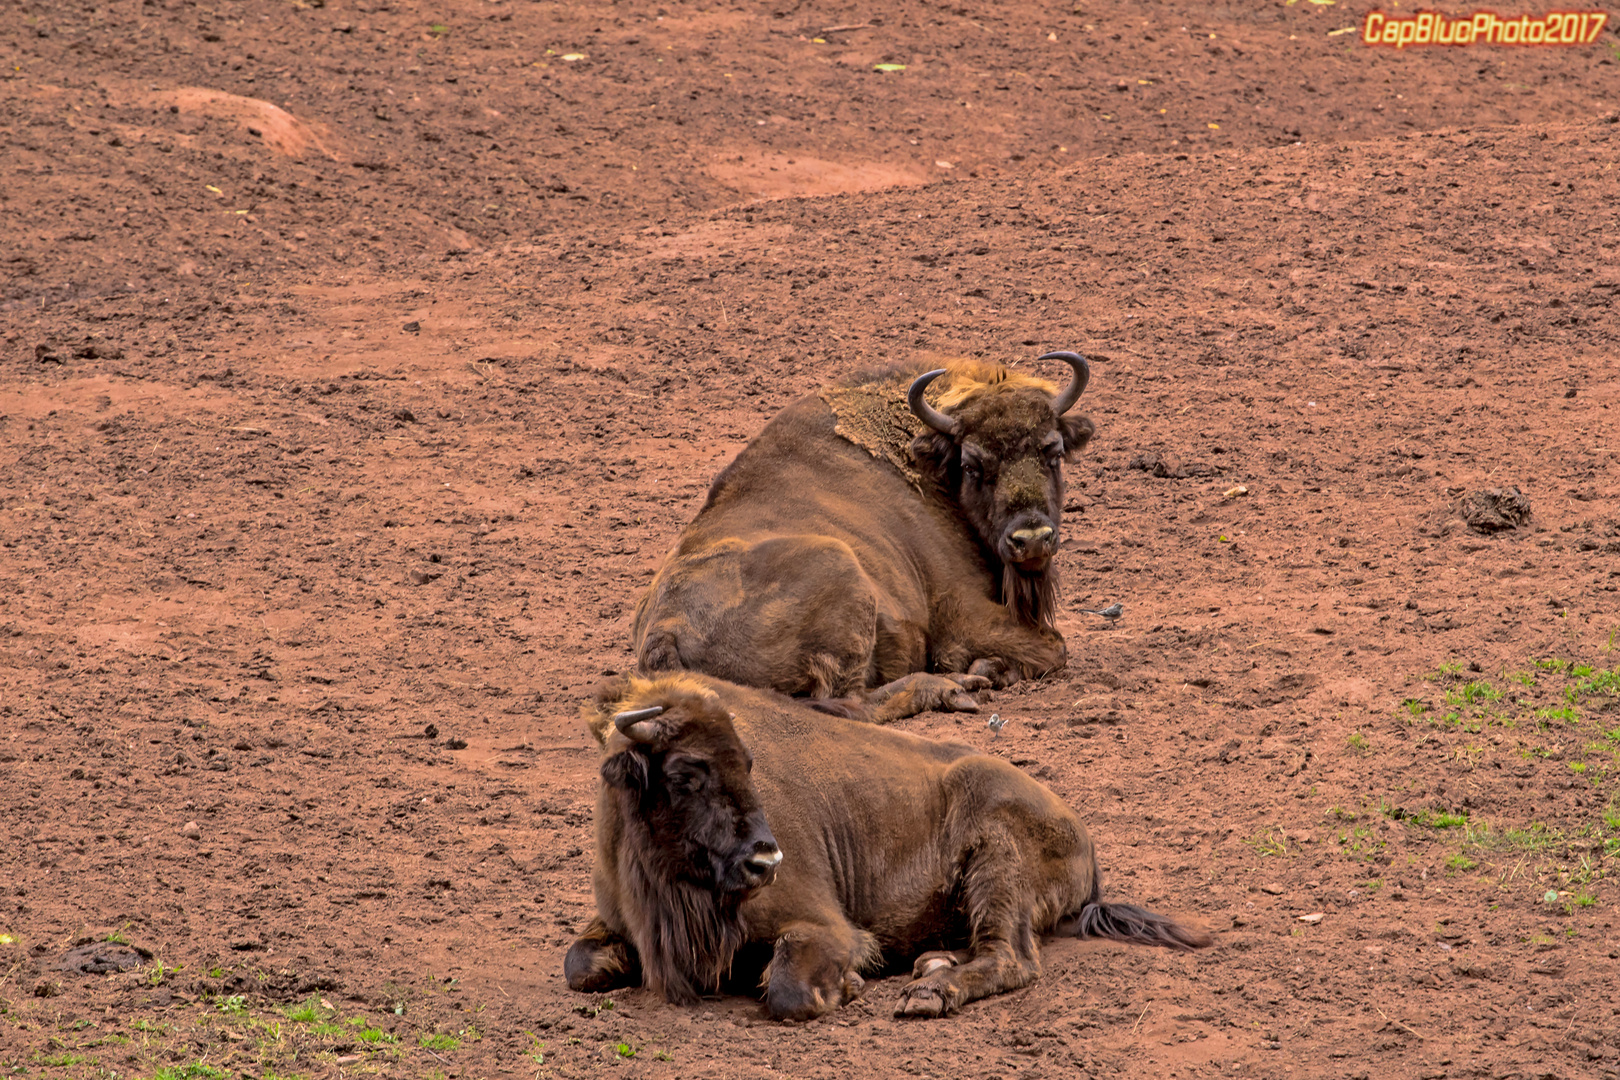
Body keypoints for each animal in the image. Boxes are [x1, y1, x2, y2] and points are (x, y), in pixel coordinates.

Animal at [565, 673, 1211, 1019]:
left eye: (749, 763)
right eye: (685, 773)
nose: (765, 860)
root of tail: (1085, 840)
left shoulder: (820, 923)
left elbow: (789, 987)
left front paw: (851, 984)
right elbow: (580, 965)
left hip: (996, 863)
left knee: (1012, 957)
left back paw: (928, 993)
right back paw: (933, 964)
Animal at [631, 352, 1096, 721]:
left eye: (1053, 452)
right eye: (972, 465)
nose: (1031, 539)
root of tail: (663, 632)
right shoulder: (962, 616)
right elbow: (1054, 647)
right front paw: (986, 670)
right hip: (843, 571)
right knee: (853, 701)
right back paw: (953, 689)